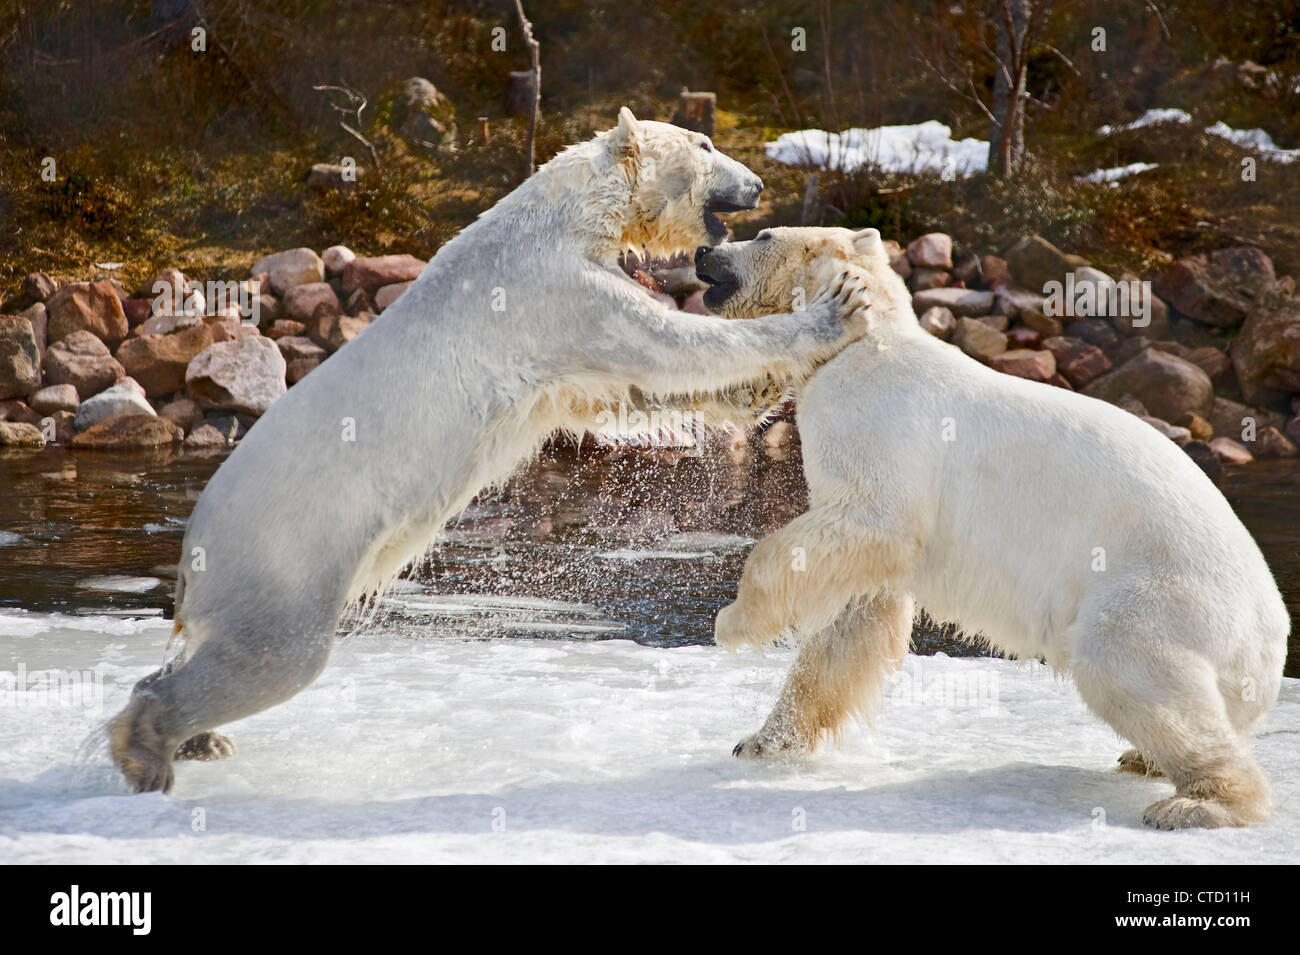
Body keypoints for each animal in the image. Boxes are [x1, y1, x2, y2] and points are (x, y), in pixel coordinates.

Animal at [106, 111, 871, 794]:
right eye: (707, 143)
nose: (757, 181)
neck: (560, 220)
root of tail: (193, 550)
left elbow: (623, 391)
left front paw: (761, 389)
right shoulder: (559, 293)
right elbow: (664, 345)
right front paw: (834, 310)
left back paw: (198, 737)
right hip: (285, 551)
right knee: (278, 655)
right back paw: (152, 747)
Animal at [696, 226, 1290, 829]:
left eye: (763, 235)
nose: (703, 251)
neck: (862, 341)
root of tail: (1270, 638)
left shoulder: (880, 428)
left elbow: (873, 524)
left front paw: (733, 623)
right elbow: (854, 612)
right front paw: (761, 740)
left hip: (1163, 593)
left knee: (1127, 663)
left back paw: (1196, 800)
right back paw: (1144, 759)